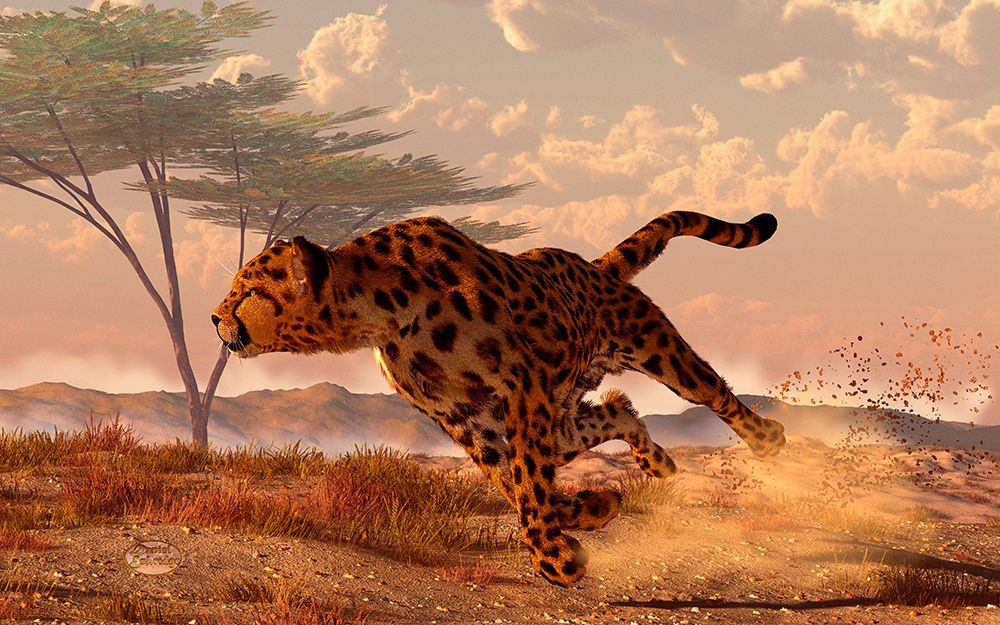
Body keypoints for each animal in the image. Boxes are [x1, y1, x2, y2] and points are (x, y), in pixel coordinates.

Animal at [212, 209, 786, 587]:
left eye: (247, 290)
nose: (215, 318)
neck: (382, 311)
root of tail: (592, 264)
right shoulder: (465, 416)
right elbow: (510, 480)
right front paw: (582, 517)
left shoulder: (524, 386)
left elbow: (527, 480)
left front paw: (554, 556)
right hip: (565, 419)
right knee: (617, 408)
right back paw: (652, 465)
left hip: (654, 346)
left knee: (713, 392)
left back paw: (769, 439)